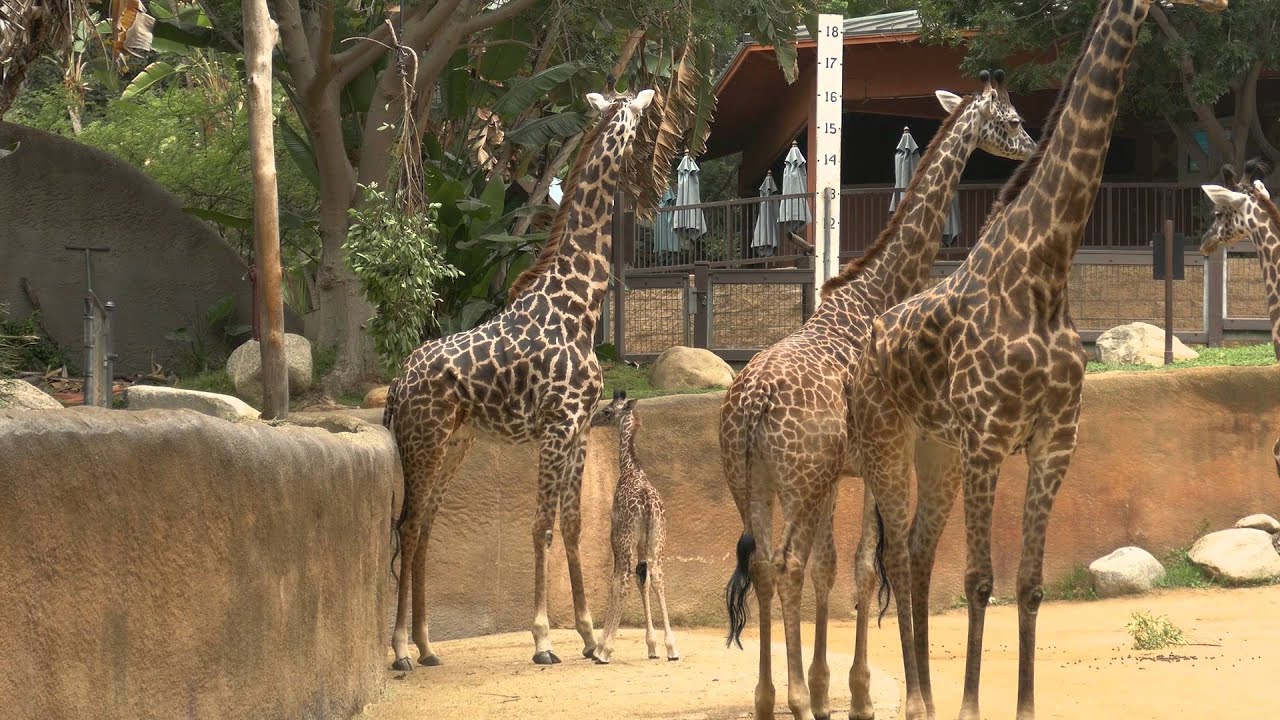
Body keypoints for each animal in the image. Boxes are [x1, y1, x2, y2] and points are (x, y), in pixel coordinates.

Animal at [382, 88, 655, 671]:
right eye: (637, 112)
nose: (654, 113)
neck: (581, 304)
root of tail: (395, 386)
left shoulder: (579, 429)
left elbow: (574, 527)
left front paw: (588, 636)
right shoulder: (555, 427)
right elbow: (541, 527)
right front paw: (543, 640)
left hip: (455, 443)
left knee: (426, 526)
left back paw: (427, 645)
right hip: (424, 440)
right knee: (409, 525)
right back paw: (399, 650)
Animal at [588, 390, 679, 664]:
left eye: (607, 411)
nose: (593, 420)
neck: (630, 468)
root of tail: (648, 502)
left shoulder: (617, 538)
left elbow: (616, 582)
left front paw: (601, 645)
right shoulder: (642, 544)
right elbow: (644, 580)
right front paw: (653, 646)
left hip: (626, 540)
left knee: (625, 579)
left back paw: (605, 652)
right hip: (658, 540)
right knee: (657, 575)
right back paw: (672, 649)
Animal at [719, 71, 1035, 720]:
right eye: (1013, 119)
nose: (1033, 144)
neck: (873, 293)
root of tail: (751, 407)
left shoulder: (842, 473)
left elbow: (833, 566)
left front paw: (828, 689)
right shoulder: (868, 465)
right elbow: (864, 567)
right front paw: (855, 696)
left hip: (753, 478)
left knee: (763, 565)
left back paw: (767, 698)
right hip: (800, 477)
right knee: (786, 564)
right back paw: (793, 699)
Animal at [848, 1, 1228, 719]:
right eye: (1011, 120)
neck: (1046, 270)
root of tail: (864, 348)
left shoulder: (1053, 440)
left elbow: (1028, 583)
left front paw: (1019, 706)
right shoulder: (989, 439)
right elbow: (979, 580)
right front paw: (970, 707)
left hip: (937, 451)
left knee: (914, 552)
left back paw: (924, 697)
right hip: (887, 442)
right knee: (887, 559)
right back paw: (903, 700)